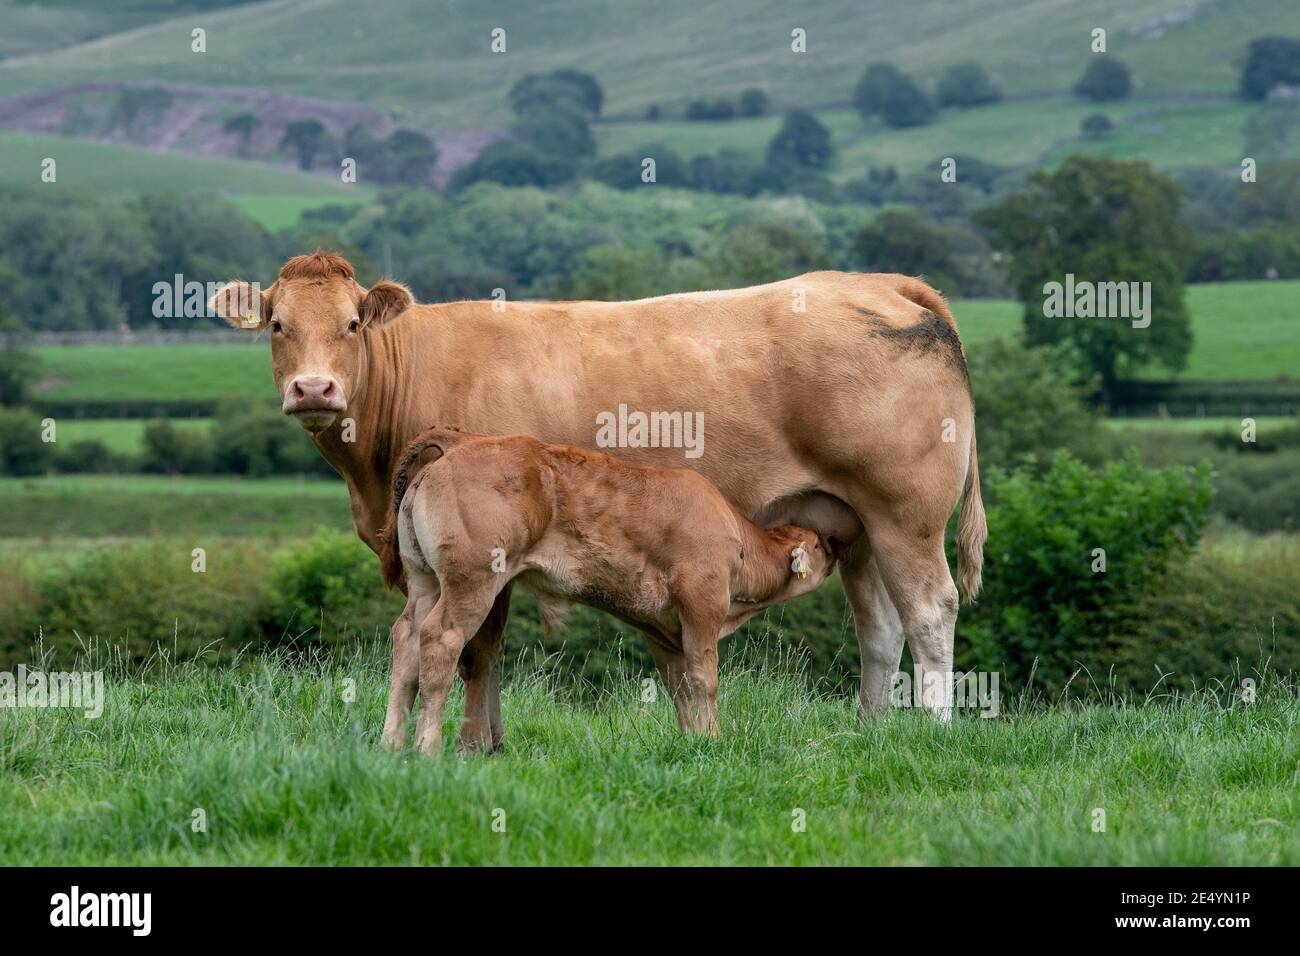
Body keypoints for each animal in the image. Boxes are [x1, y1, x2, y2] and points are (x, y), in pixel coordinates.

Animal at [377, 425, 837, 752]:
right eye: (815, 545)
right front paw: (714, 741)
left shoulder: (665, 630)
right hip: (471, 581)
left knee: (407, 639)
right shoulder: (702, 604)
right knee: (440, 640)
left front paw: (692, 742)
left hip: (425, 581)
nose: (833, 546)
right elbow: (704, 679)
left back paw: (391, 744)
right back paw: (427, 749)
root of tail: (461, 444)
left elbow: (678, 686)